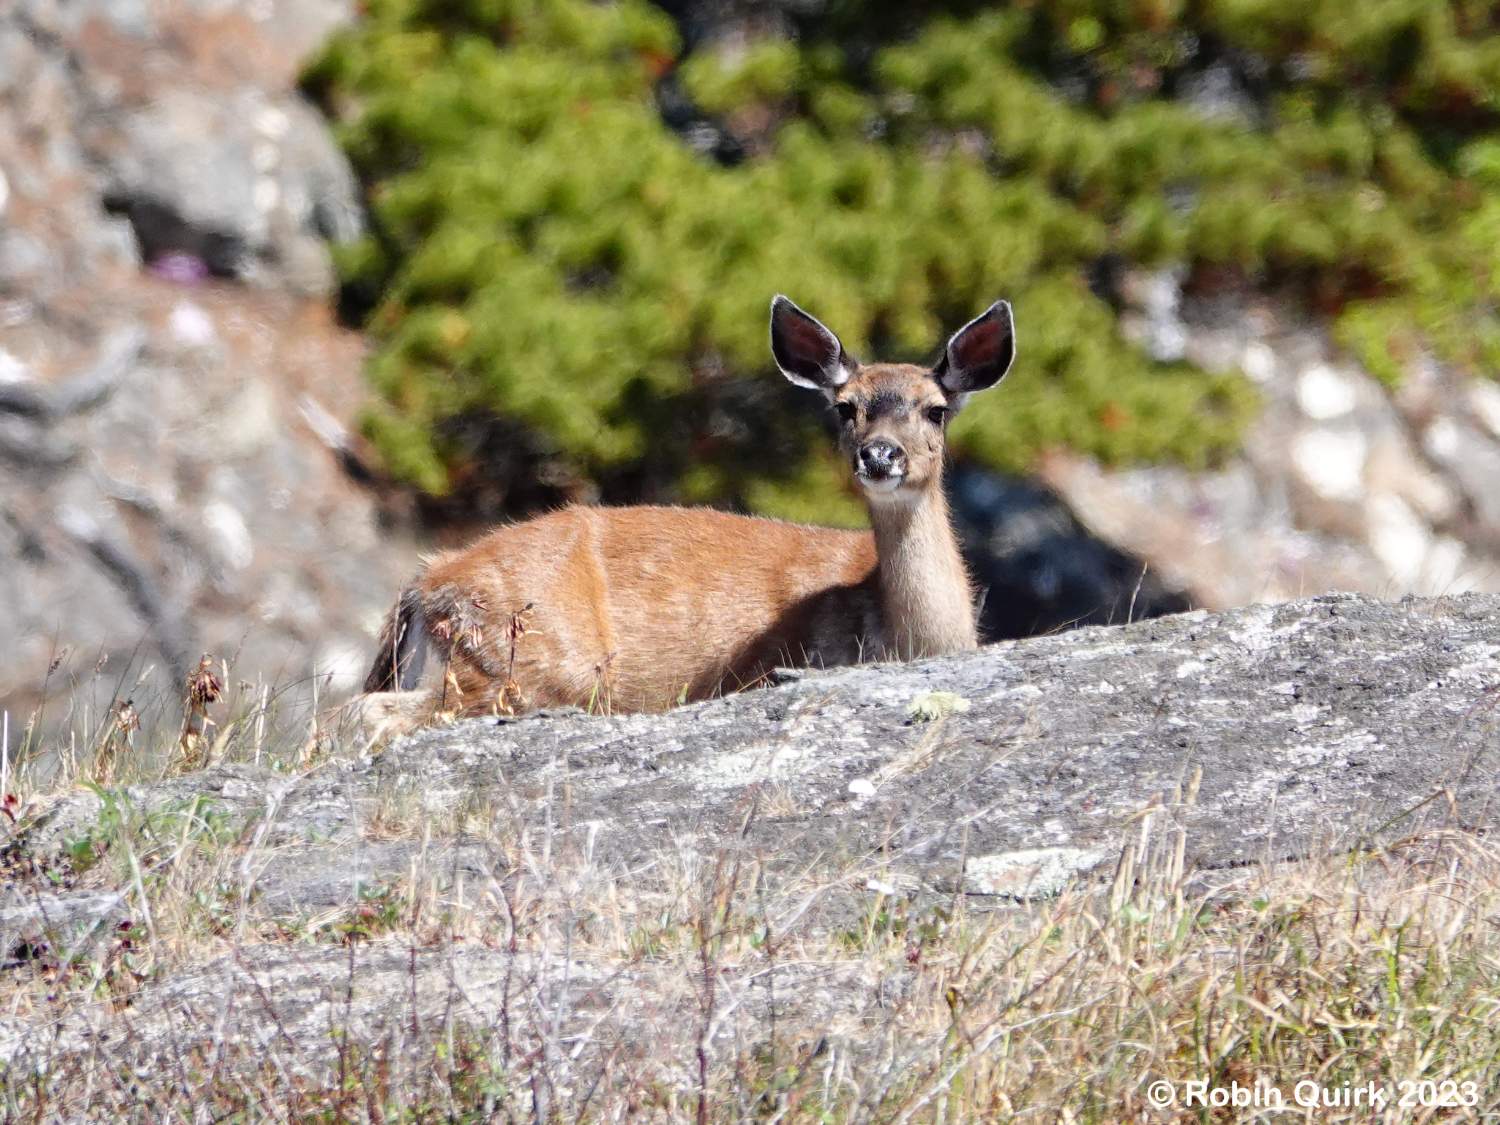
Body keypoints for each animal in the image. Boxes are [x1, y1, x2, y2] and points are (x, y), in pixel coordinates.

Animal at [355, 295, 1015, 729]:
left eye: (935, 410)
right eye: (845, 407)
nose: (879, 455)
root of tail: (426, 583)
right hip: (526, 657)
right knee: (376, 712)